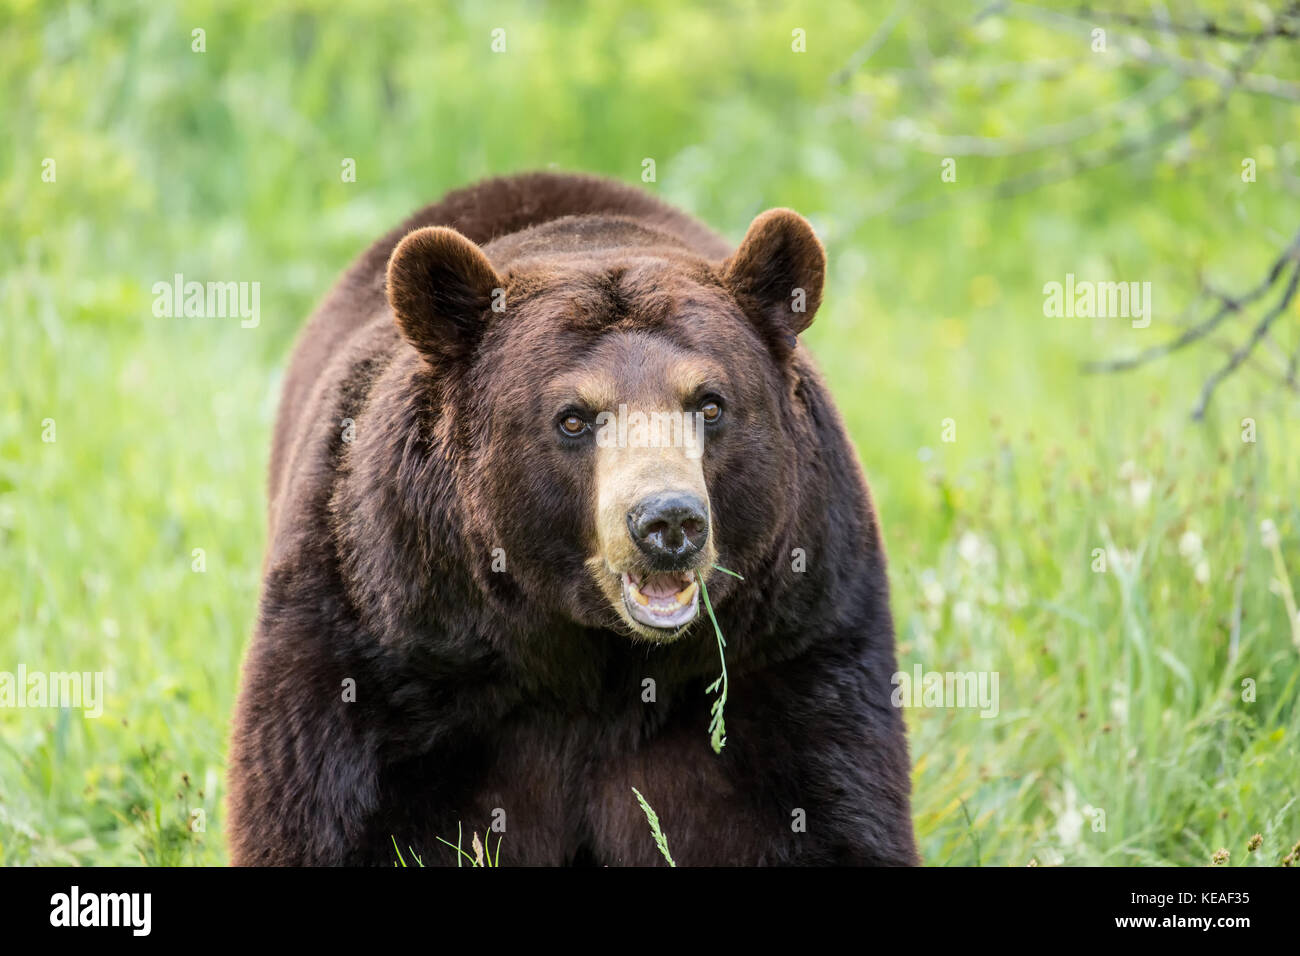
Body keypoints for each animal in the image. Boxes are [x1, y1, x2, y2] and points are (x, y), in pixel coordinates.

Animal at [227, 171, 918, 866]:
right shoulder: (389, 638)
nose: (669, 522)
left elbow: (818, 809)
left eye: (710, 404)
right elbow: (329, 808)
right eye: (574, 417)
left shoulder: (791, 638)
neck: (592, 656)